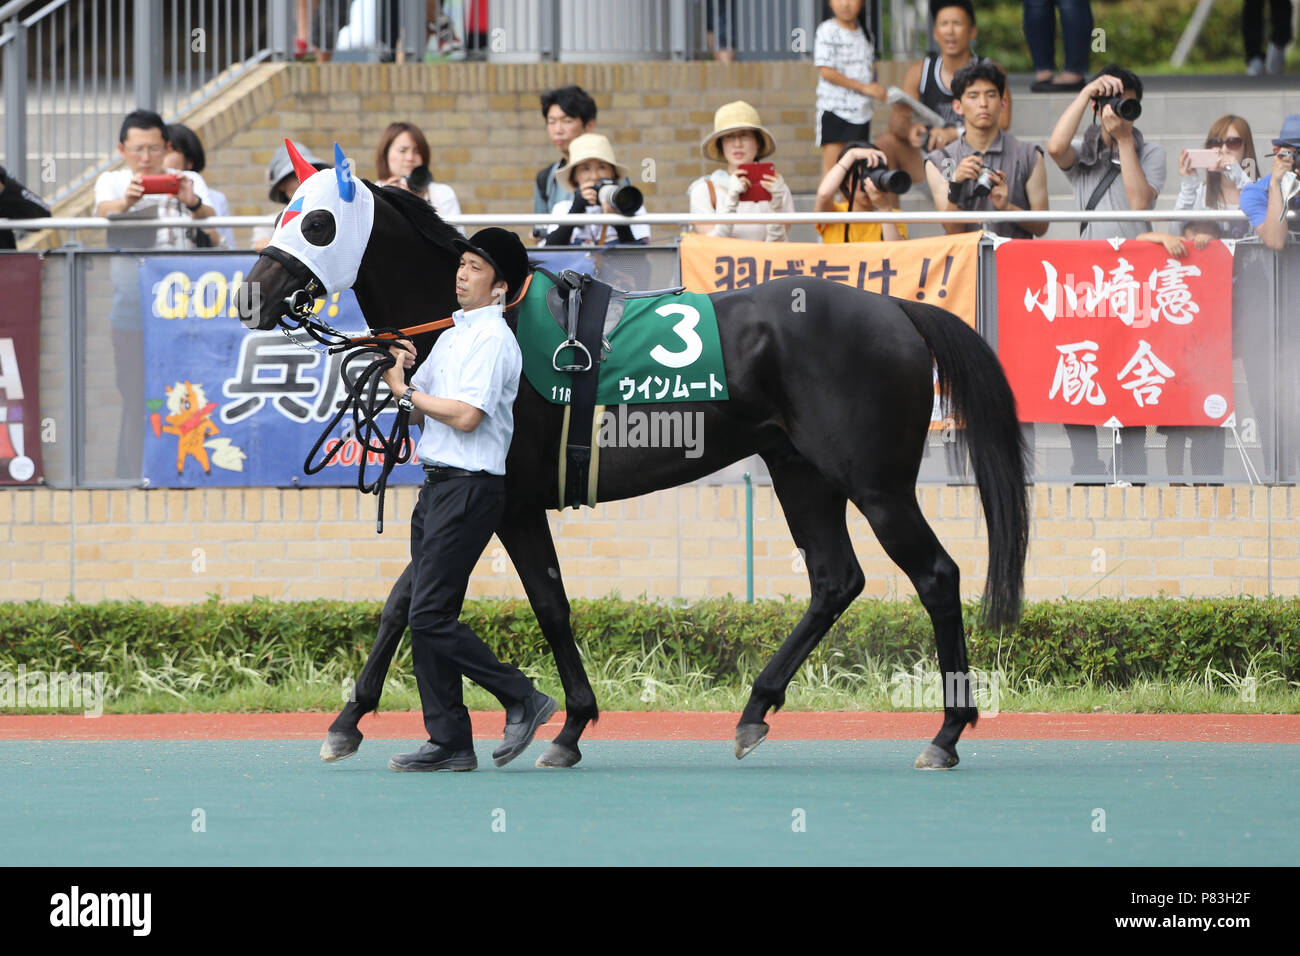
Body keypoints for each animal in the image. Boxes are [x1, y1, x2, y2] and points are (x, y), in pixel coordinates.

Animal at [238, 144, 1030, 770]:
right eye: (282, 216)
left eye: (316, 223)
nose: (251, 295)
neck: (479, 321)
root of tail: (899, 310)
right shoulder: (484, 500)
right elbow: (419, 600)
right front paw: (357, 721)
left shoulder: (508, 499)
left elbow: (521, 603)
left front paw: (552, 724)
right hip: (799, 471)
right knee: (836, 580)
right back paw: (755, 711)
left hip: (876, 482)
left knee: (935, 575)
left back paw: (947, 732)